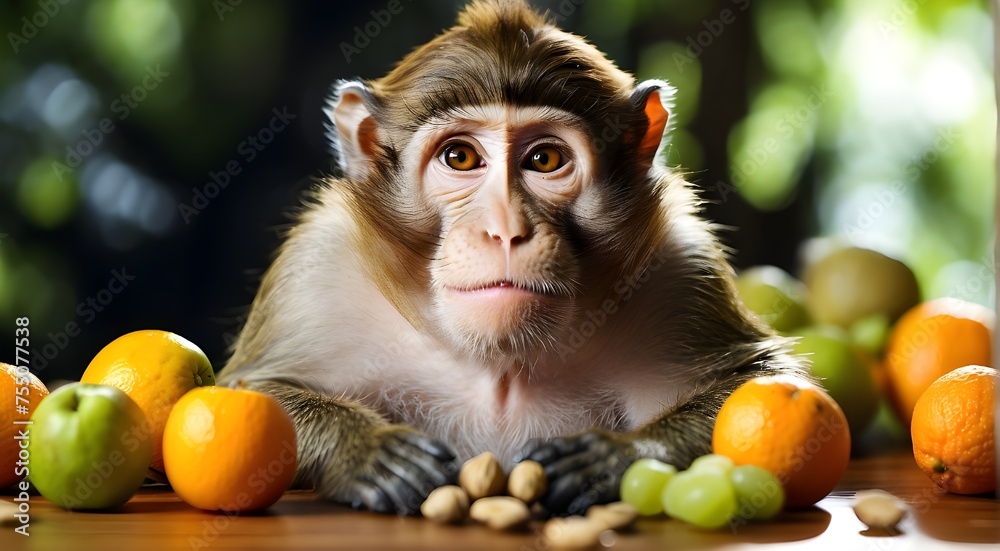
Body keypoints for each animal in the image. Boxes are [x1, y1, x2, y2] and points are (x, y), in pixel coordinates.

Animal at [217, 0, 808, 517]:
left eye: (544, 159)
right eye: (460, 157)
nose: (505, 230)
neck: (499, 362)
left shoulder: (680, 269)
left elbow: (760, 383)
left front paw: (619, 456)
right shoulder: (317, 266)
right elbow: (248, 391)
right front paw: (364, 448)